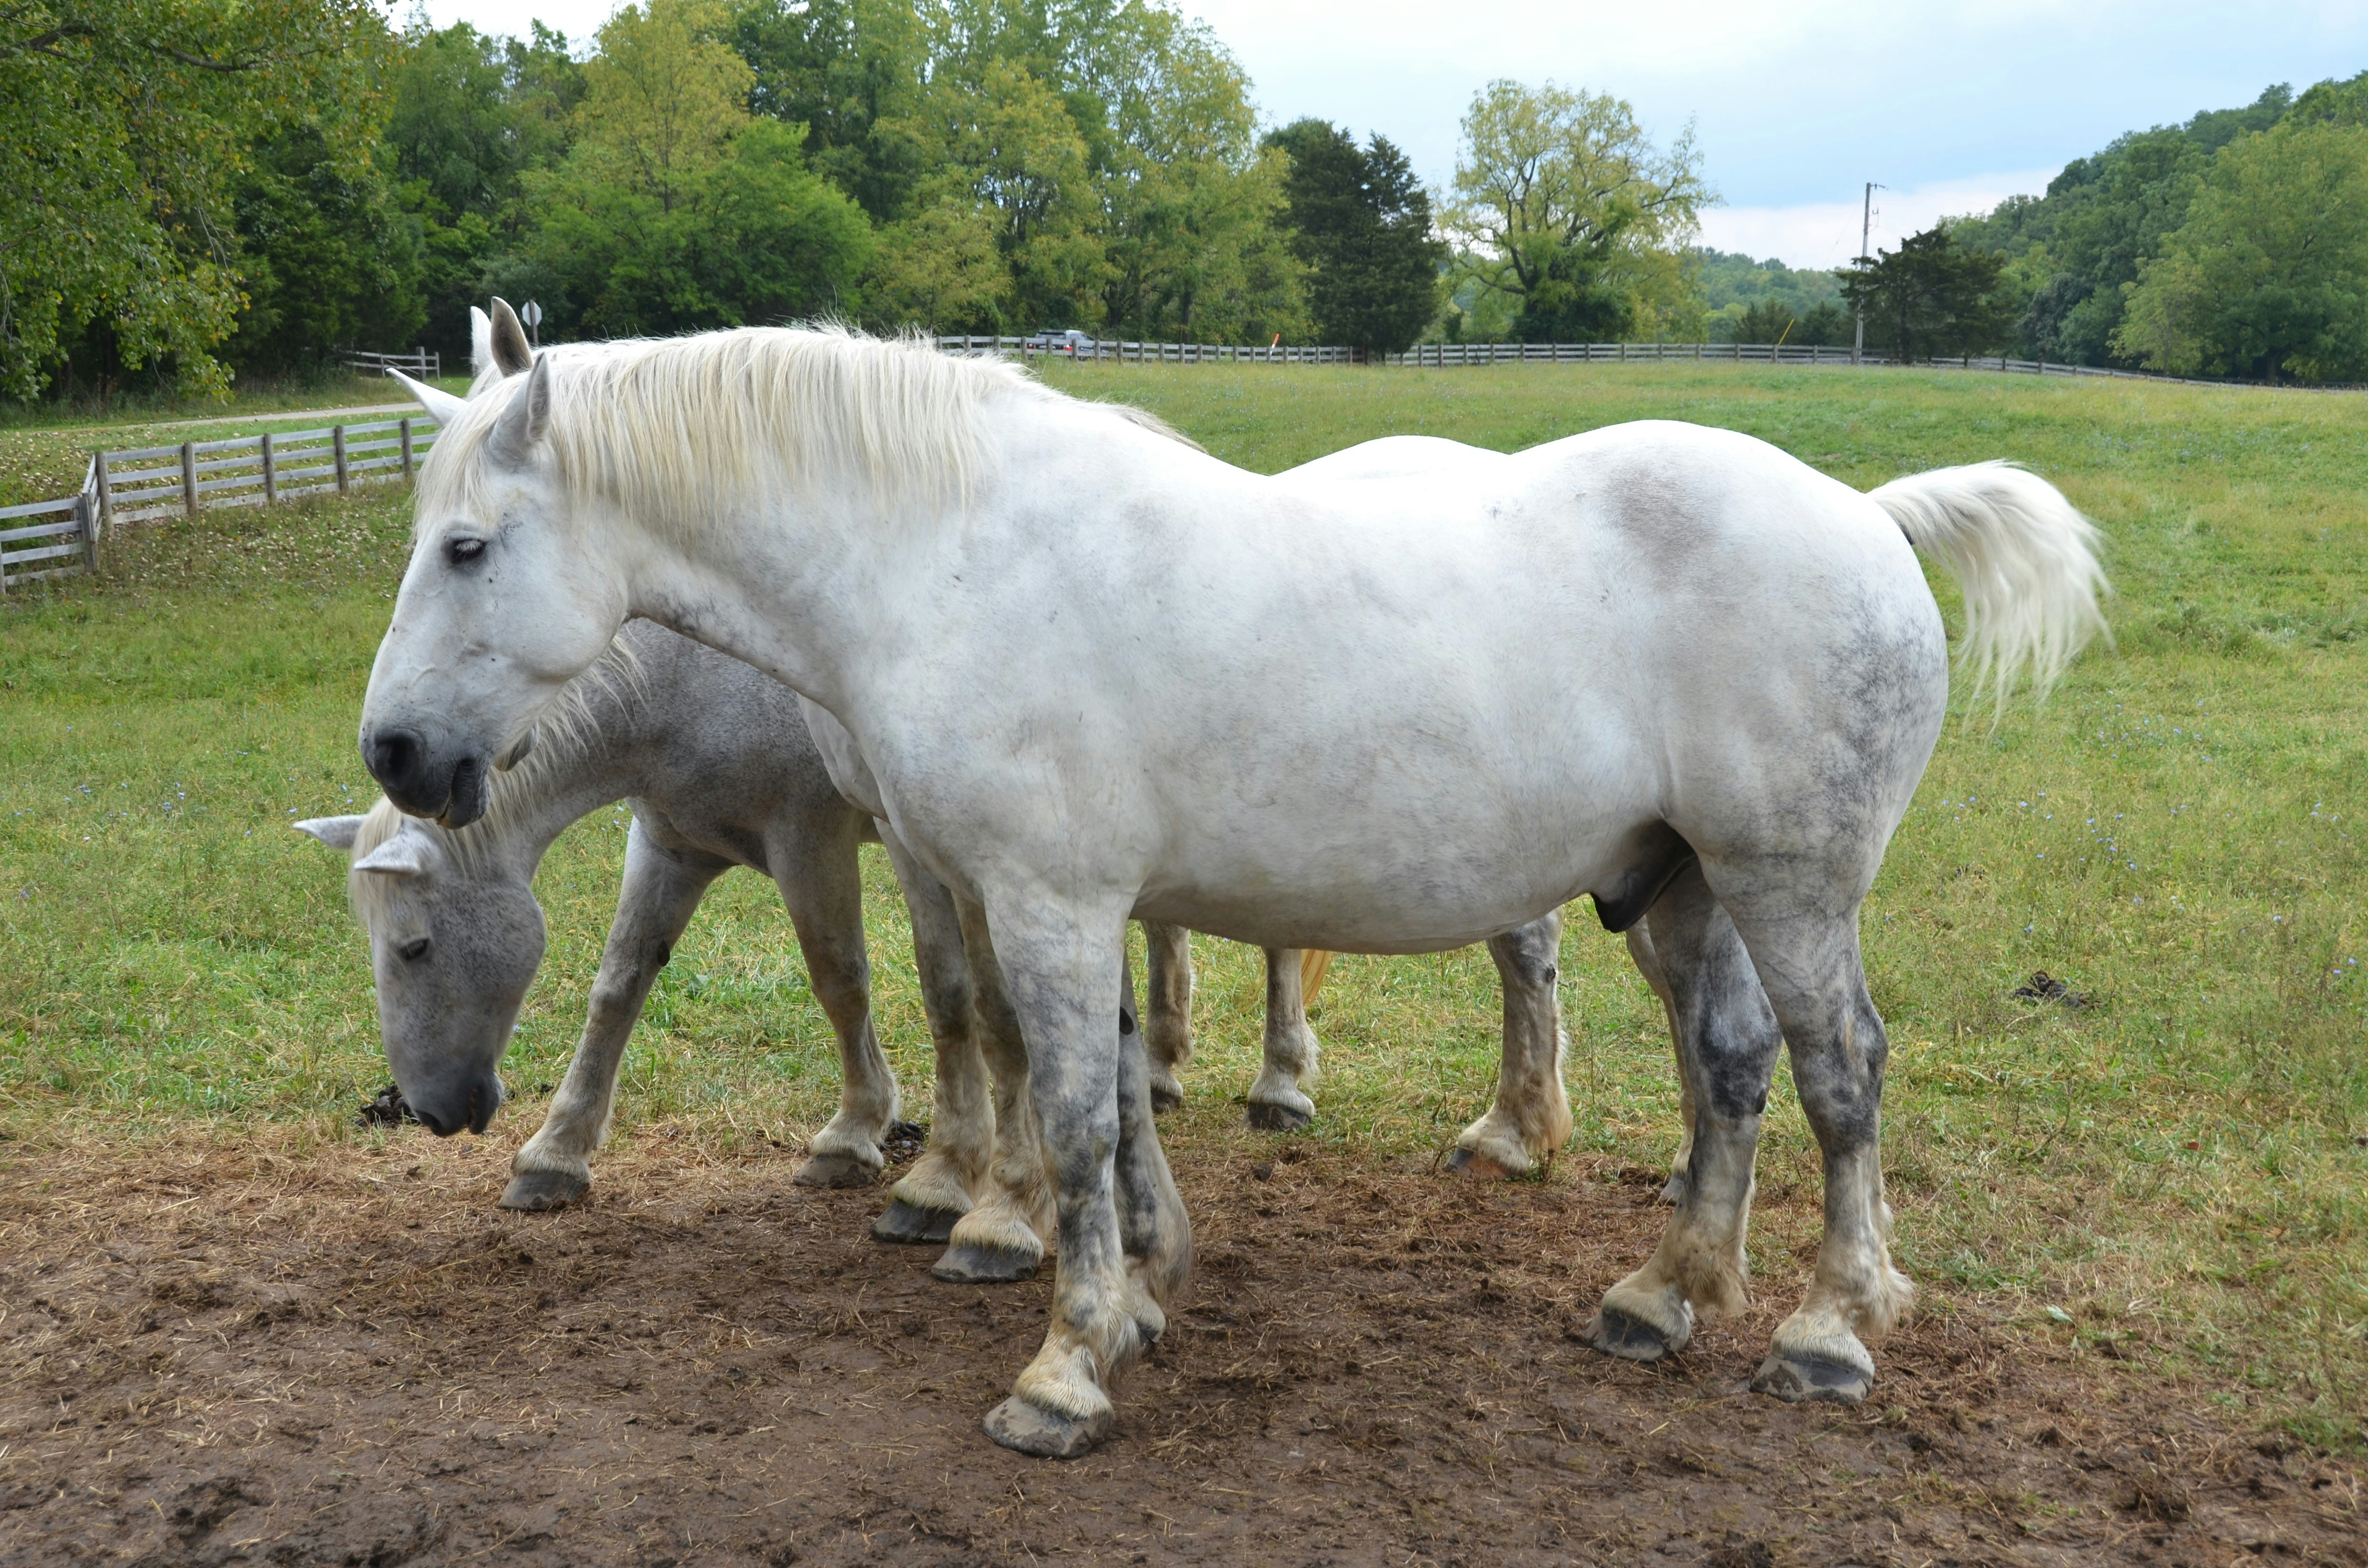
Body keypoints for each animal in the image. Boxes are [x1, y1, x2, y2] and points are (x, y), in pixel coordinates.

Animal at [358, 325, 2106, 1458]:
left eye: (466, 546)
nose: (395, 748)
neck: (946, 555)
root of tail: (1864, 515)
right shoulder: (1014, 895)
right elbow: (1095, 1082)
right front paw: (1132, 1291)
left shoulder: (1048, 899)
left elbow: (1067, 1108)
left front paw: (1064, 1365)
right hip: (1685, 888)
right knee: (1732, 1071)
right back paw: (1663, 1296)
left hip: (1789, 886)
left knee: (1838, 1074)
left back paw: (1826, 1329)